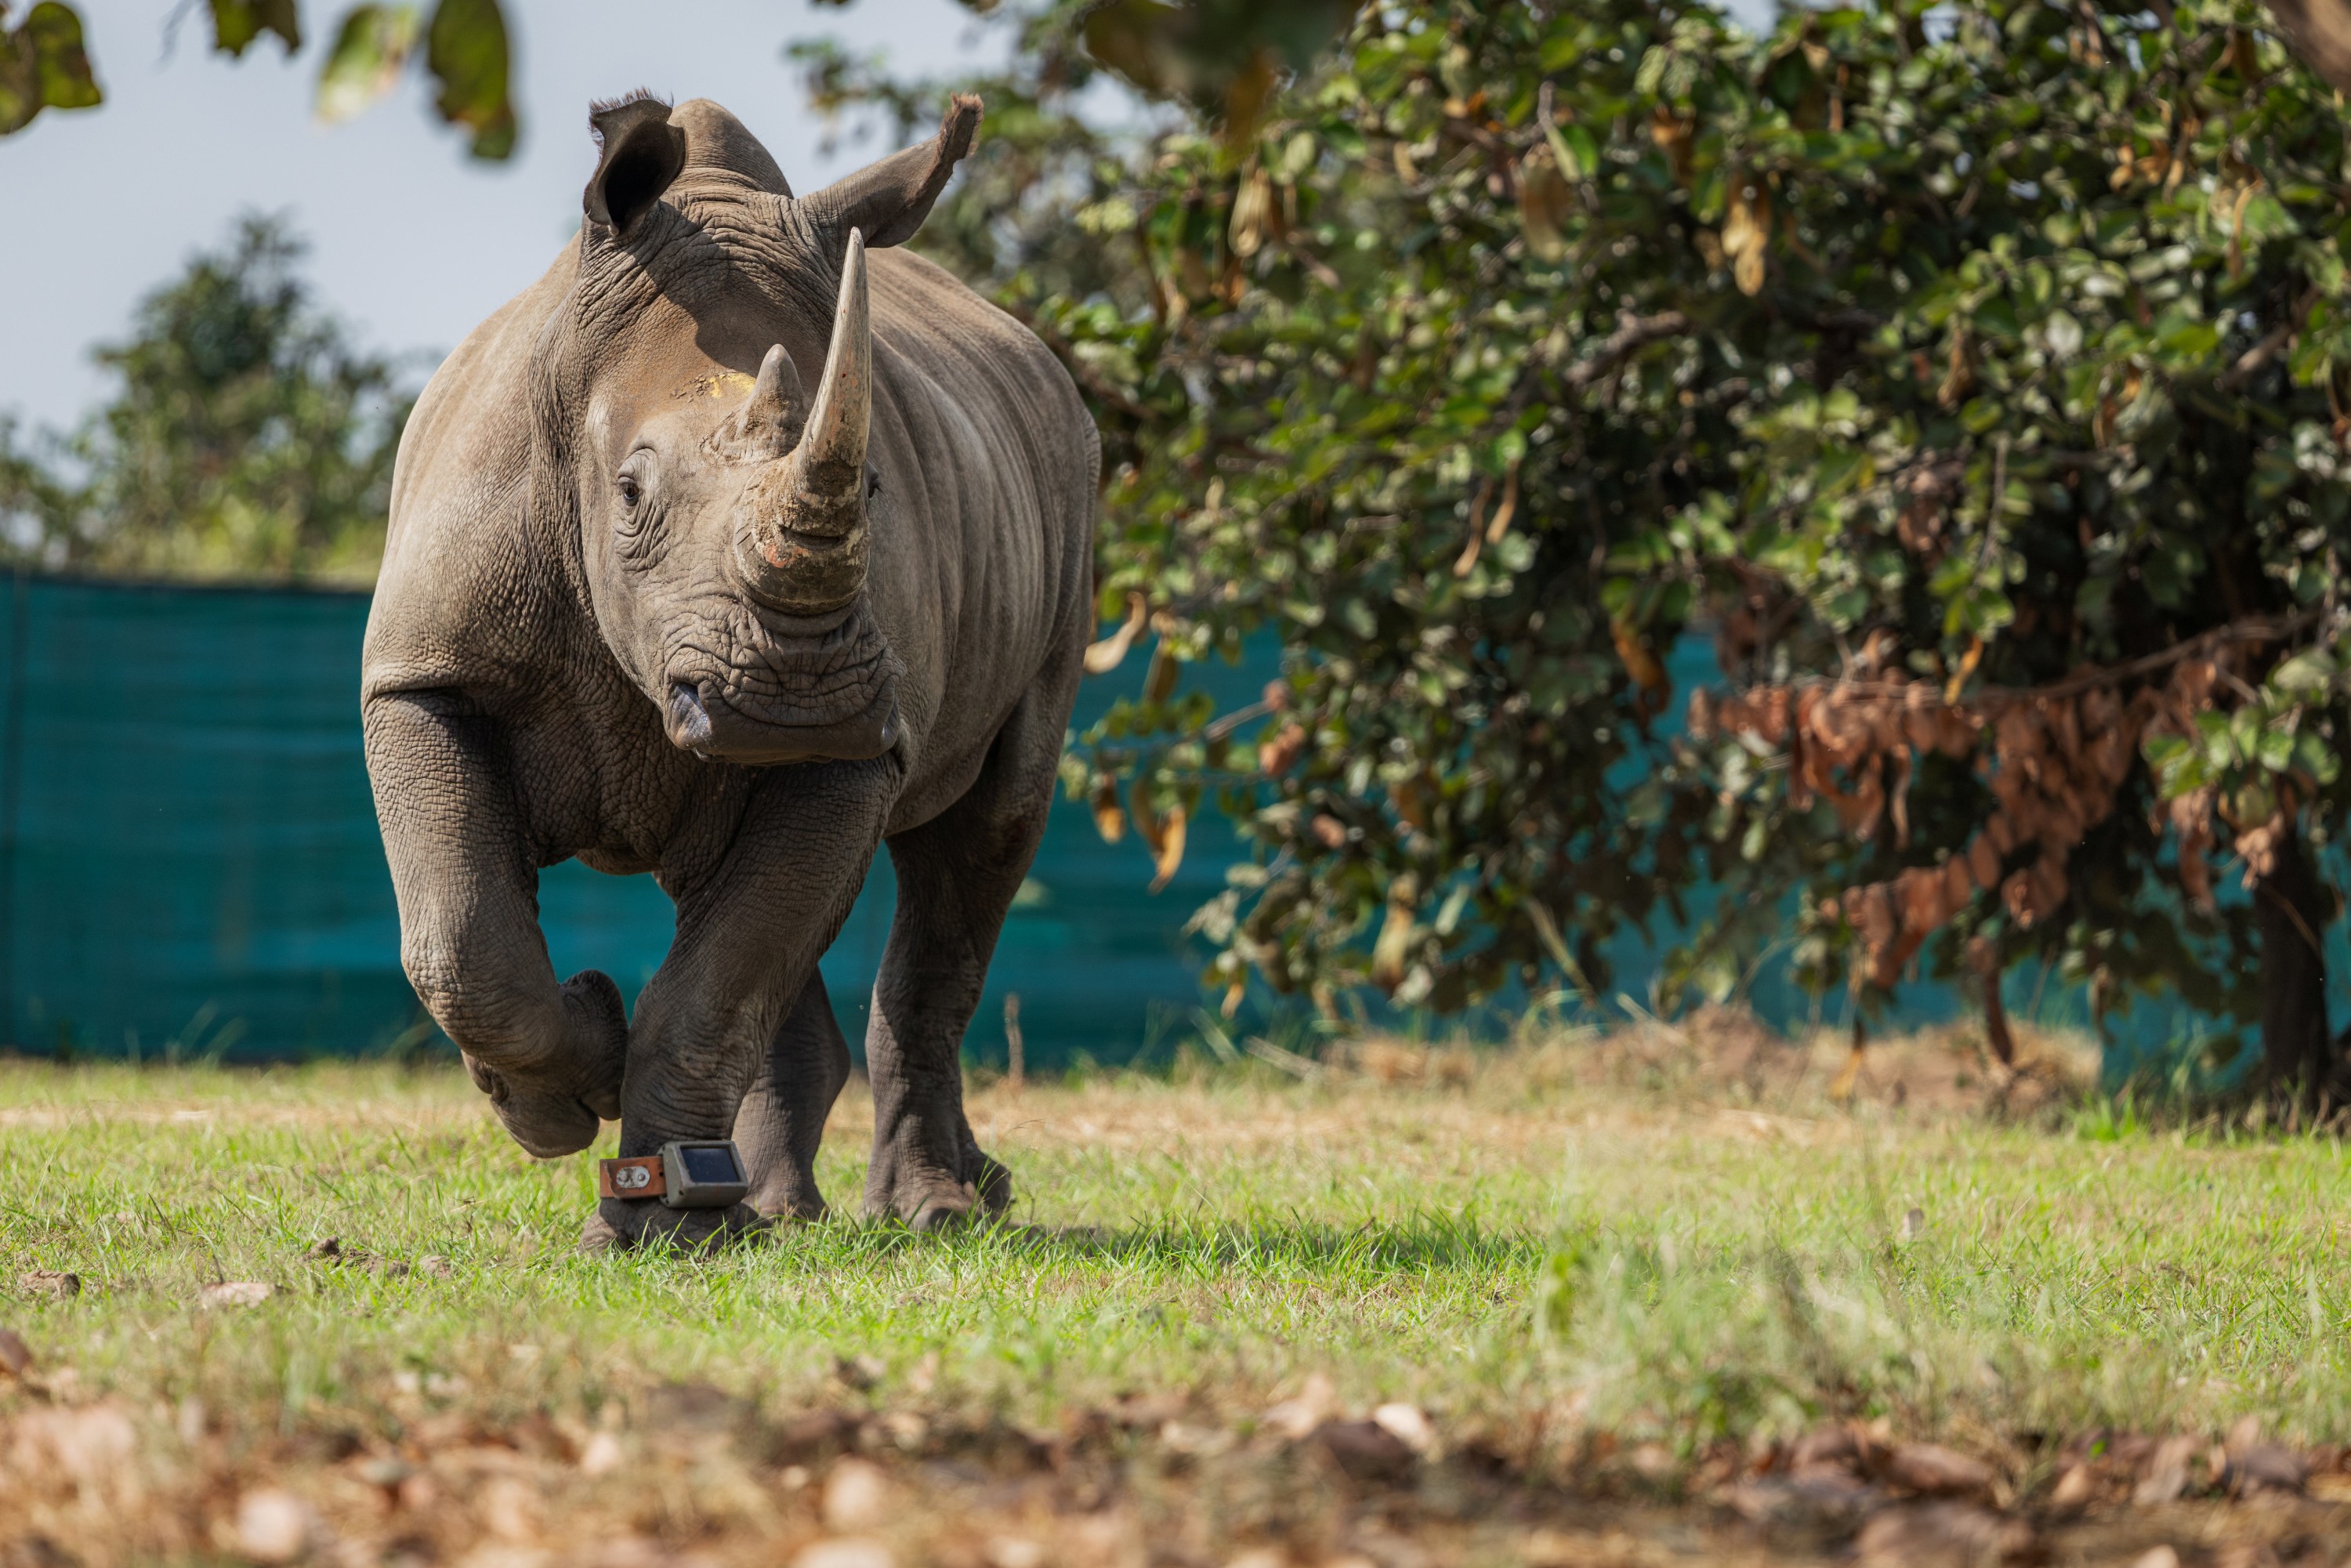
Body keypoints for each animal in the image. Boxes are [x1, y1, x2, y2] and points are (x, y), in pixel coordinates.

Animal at [361, 92, 1096, 1249]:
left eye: (874, 488)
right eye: (628, 492)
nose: (796, 699)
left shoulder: (861, 748)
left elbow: (718, 986)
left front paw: (657, 1229)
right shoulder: (424, 675)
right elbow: (465, 941)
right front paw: (576, 1080)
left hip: (1069, 500)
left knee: (985, 832)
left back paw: (931, 1210)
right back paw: (792, 1209)